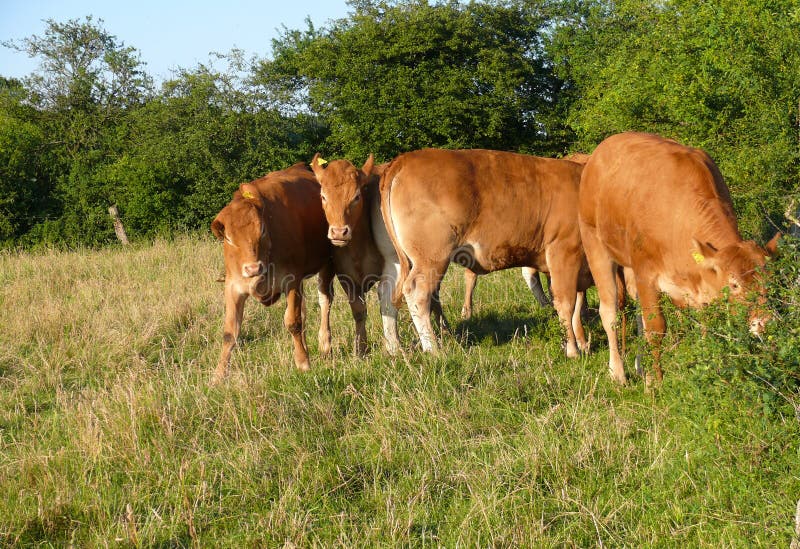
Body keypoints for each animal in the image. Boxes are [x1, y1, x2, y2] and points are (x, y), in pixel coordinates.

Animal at [210, 163, 336, 383]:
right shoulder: (233, 286)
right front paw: (219, 375)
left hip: (326, 263)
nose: (253, 268)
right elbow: (229, 332)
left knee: (324, 302)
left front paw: (303, 363)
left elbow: (293, 322)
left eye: (262, 230)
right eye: (229, 238)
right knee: (304, 311)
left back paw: (324, 345)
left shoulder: (291, 280)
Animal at [380, 148, 591, 357]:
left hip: (397, 260)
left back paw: (395, 347)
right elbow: (567, 302)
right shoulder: (564, 251)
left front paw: (581, 341)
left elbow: (576, 301)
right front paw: (573, 349)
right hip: (431, 257)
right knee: (417, 292)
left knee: (388, 292)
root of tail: (405, 158)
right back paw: (434, 349)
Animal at [578, 132, 779, 385]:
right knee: (610, 312)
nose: (765, 323)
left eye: (771, 281)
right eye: (734, 285)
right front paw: (655, 382)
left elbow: (705, 327)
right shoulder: (646, 273)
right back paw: (618, 372)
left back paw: (639, 366)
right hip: (595, 243)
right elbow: (655, 330)